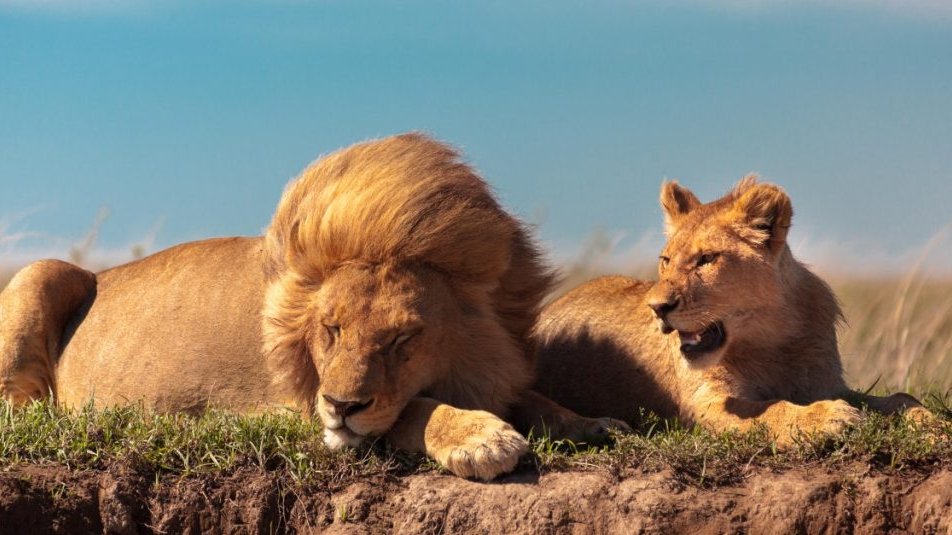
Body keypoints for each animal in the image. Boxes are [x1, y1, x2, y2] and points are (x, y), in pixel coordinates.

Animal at [0, 133, 616, 480]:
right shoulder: (300, 409)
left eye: (403, 338)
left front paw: (593, 422)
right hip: (41, 270)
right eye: (331, 328)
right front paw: (481, 439)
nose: (342, 405)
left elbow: (532, 397)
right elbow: (414, 409)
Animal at [532, 177, 927, 445]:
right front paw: (829, 417)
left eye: (707, 259)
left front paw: (928, 421)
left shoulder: (827, 383)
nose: (657, 308)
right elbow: (773, 408)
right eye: (666, 260)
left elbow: (898, 398)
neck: (769, 340)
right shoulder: (708, 404)